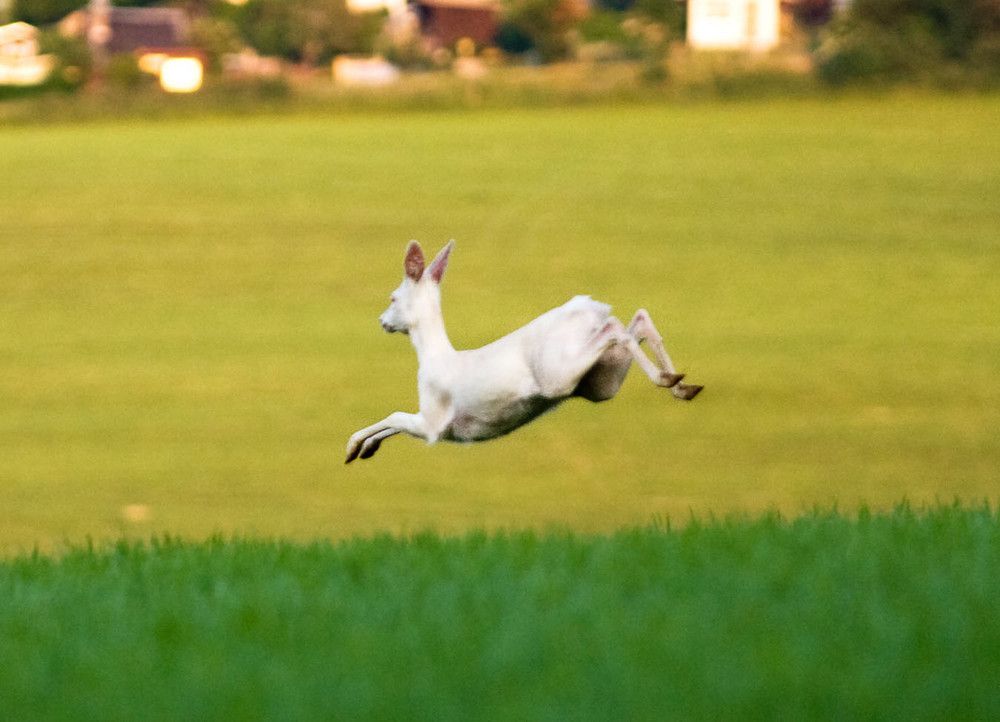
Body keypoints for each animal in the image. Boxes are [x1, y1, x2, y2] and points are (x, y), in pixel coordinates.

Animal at [345, 241, 702, 463]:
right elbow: (394, 423)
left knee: (616, 329)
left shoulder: (435, 422)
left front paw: (351, 447)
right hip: (600, 382)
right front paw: (366, 449)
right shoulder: (430, 422)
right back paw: (681, 383)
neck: (434, 358)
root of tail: (592, 308)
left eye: (392, 297)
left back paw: (669, 379)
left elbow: (394, 416)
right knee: (636, 319)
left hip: (558, 375)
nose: (382, 321)